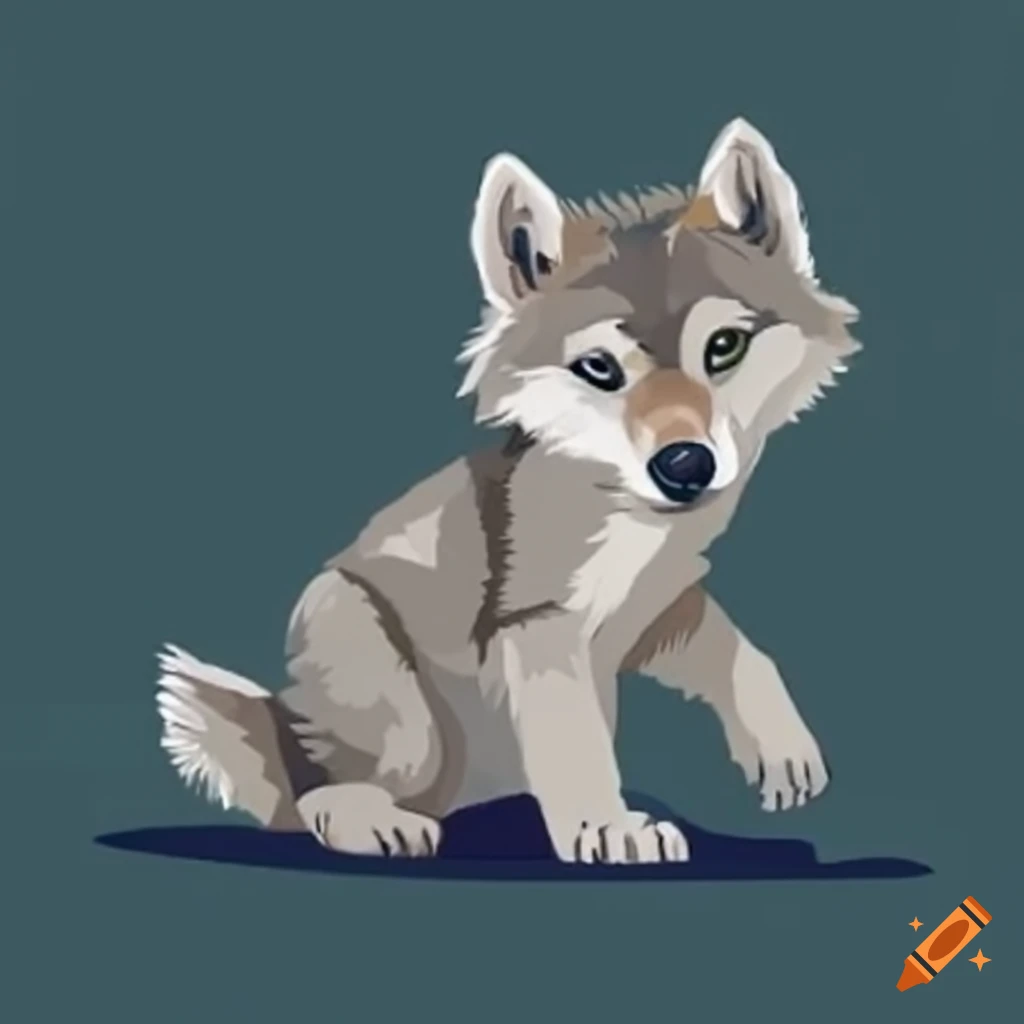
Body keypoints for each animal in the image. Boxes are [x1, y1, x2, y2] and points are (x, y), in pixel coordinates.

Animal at [156, 117, 861, 864]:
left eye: (724, 346)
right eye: (599, 368)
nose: (685, 465)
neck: (628, 520)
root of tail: (281, 717)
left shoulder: (661, 609)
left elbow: (745, 655)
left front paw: (783, 749)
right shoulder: (540, 625)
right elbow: (576, 744)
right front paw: (606, 828)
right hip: (396, 708)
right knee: (312, 795)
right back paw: (373, 821)